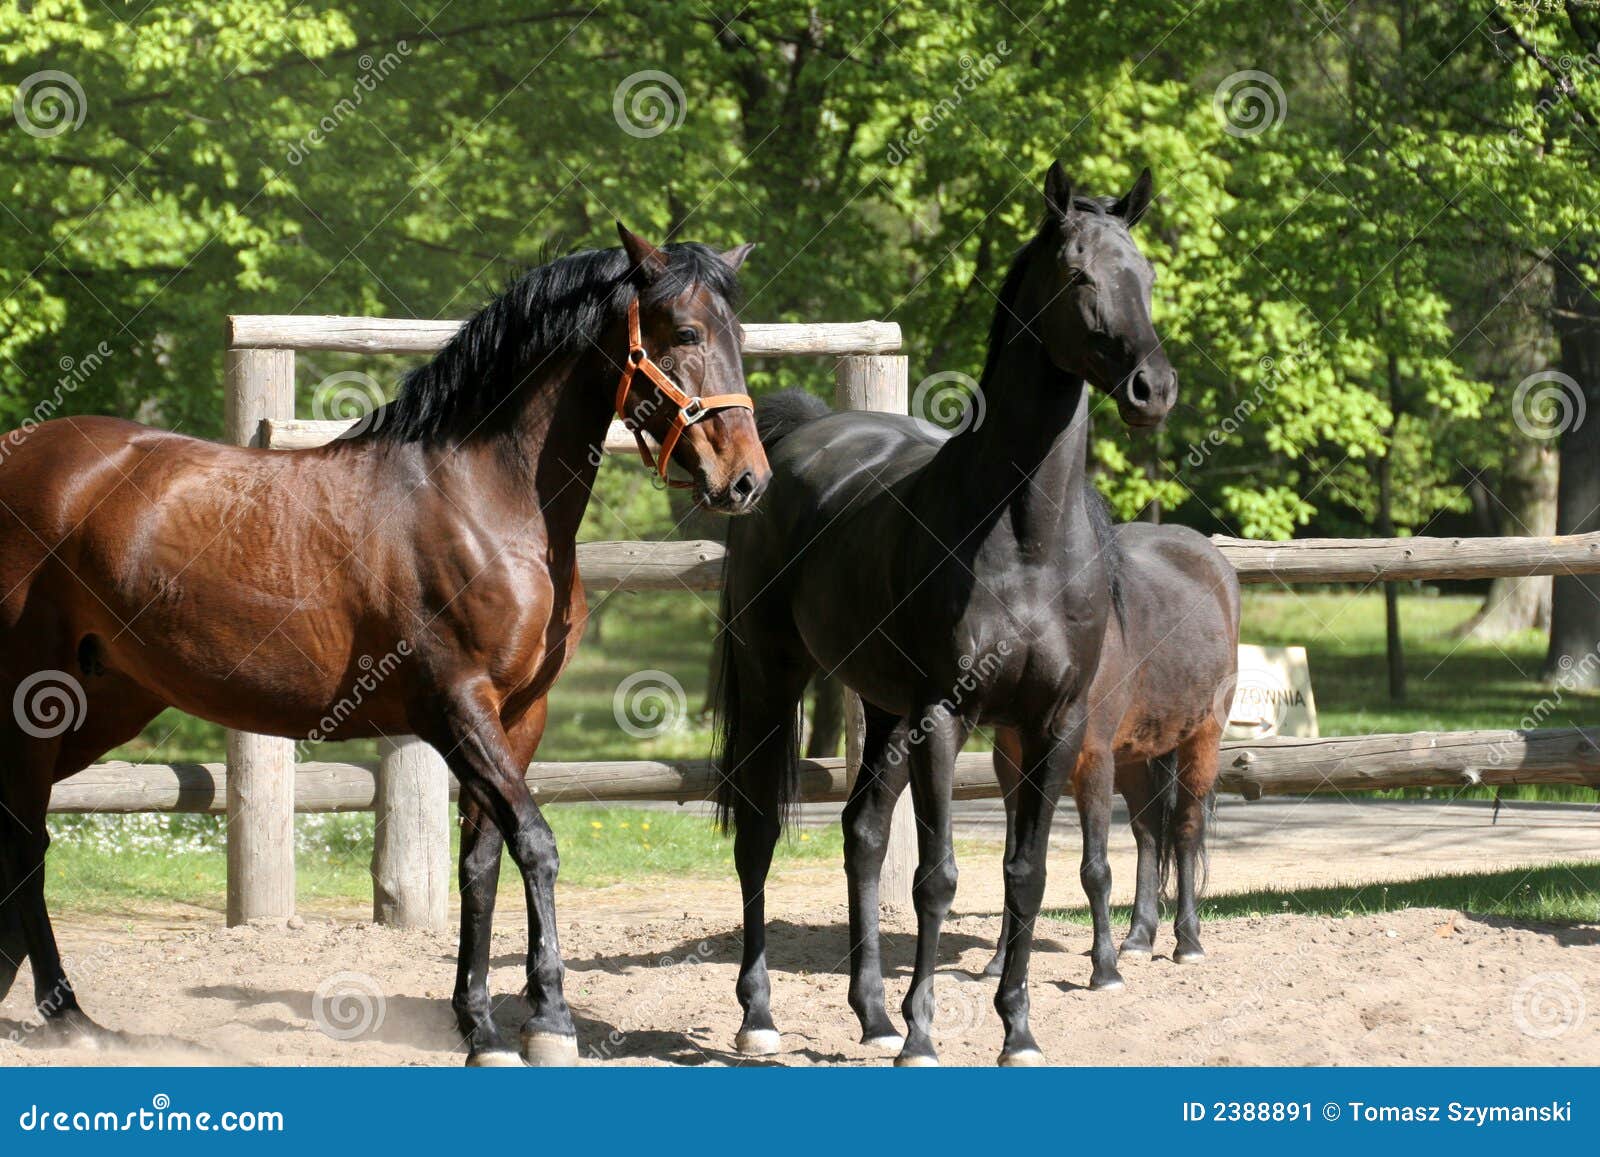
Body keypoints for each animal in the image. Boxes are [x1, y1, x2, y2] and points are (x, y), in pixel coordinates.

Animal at [0, 225, 769, 1067]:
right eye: (686, 333)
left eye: (739, 336)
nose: (747, 481)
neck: (478, 499)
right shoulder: (455, 707)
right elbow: (535, 841)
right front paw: (550, 1021)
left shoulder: (518, 716)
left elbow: (480, 860)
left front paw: (480, 1023)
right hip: (31, 701)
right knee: (24, 836)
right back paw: (67, 1013)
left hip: (102, 705)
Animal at [713, 162, 1177, 1066]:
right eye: (1078, 274)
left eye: (1146, 274)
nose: (1153, 389)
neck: (1025, 538)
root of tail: (801, 438)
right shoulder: (944, 716)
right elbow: (938, 878)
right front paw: (925, 1035)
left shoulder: (1054, 724)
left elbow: (1024, 874)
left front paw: (1017, 1030)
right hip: (775, 679)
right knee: (757, 835)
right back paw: (759, 1016)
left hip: (884, 708)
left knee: (861, 834)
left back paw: (871, 1014)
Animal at [979, 521, 1240, 982]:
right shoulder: (1011, 765)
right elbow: (1013, 862)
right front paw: (998, 964)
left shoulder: (1092, 759)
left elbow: (1095, 869)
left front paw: (1104, 971)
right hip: (1134, 756)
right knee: (1149, 833)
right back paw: (1138, 938)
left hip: (1201, 740)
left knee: (1186, 830)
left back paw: (1188, 943)